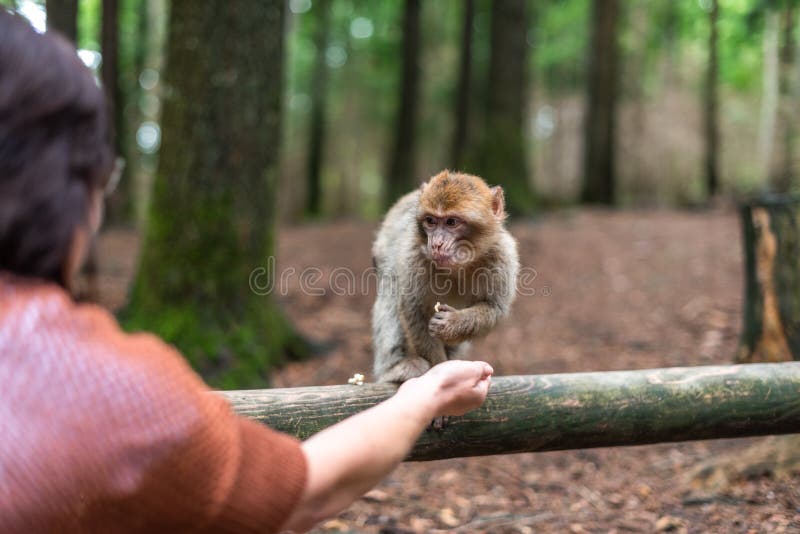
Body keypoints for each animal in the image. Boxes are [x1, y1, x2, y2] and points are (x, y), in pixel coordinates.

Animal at [372, 170, 519, 385]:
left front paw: (452, 324)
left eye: (451, 222)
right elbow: (412, 308)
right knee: (390, 291)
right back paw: (396, 367)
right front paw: (439, 369)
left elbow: (494, 307)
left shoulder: (502, 256)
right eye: (430, 221)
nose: (436, 244)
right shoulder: (413, 254)